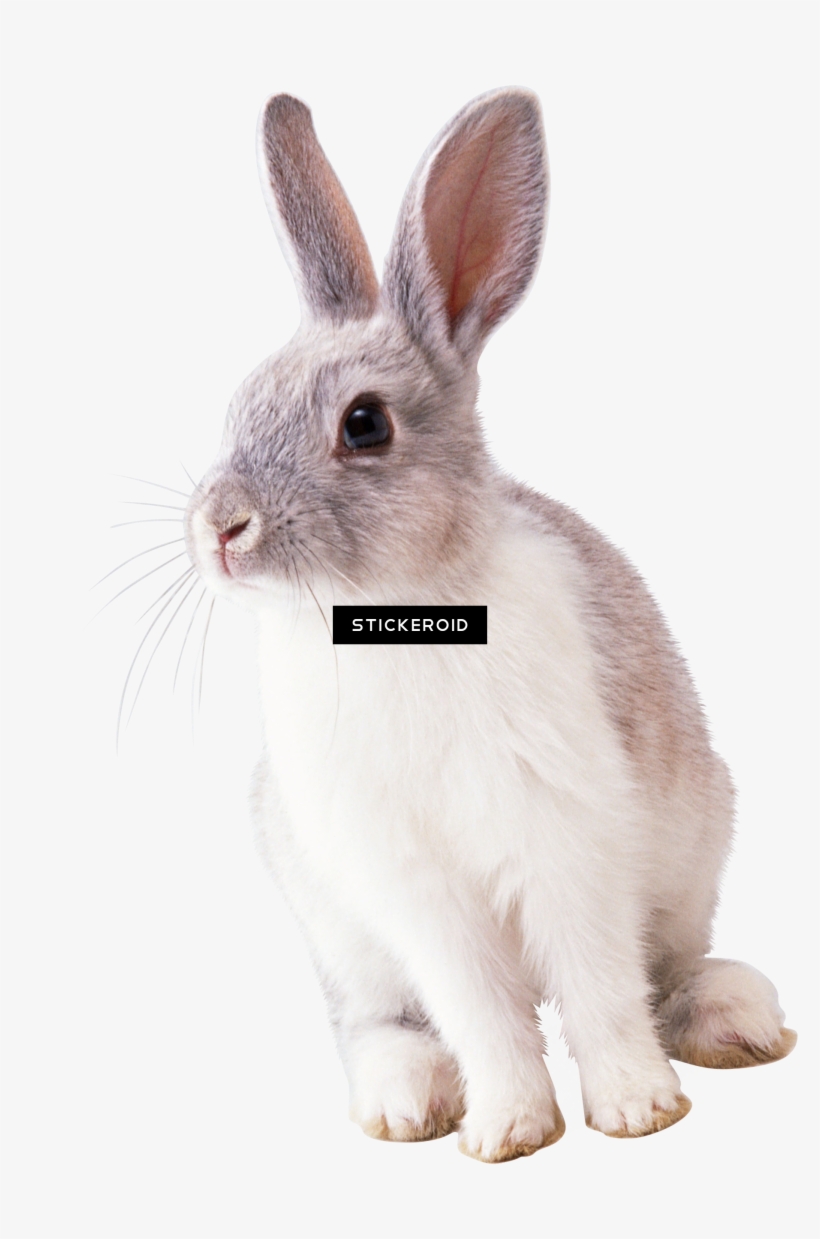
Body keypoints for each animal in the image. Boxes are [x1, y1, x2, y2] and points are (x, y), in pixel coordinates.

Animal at [183, 88, 796, 1162]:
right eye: (238, 405)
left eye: (365, 424)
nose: (218, 527)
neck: (393, 609)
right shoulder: (414, 886)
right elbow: (480, 1008)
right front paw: (508, 1131)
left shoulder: (568, 839)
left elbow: (599, 987)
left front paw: (637, 1111)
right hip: (342, 931)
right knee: (381, 1021)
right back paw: (405, 1103)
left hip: (692, 859)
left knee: (667, 969)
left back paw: (735, 1021)